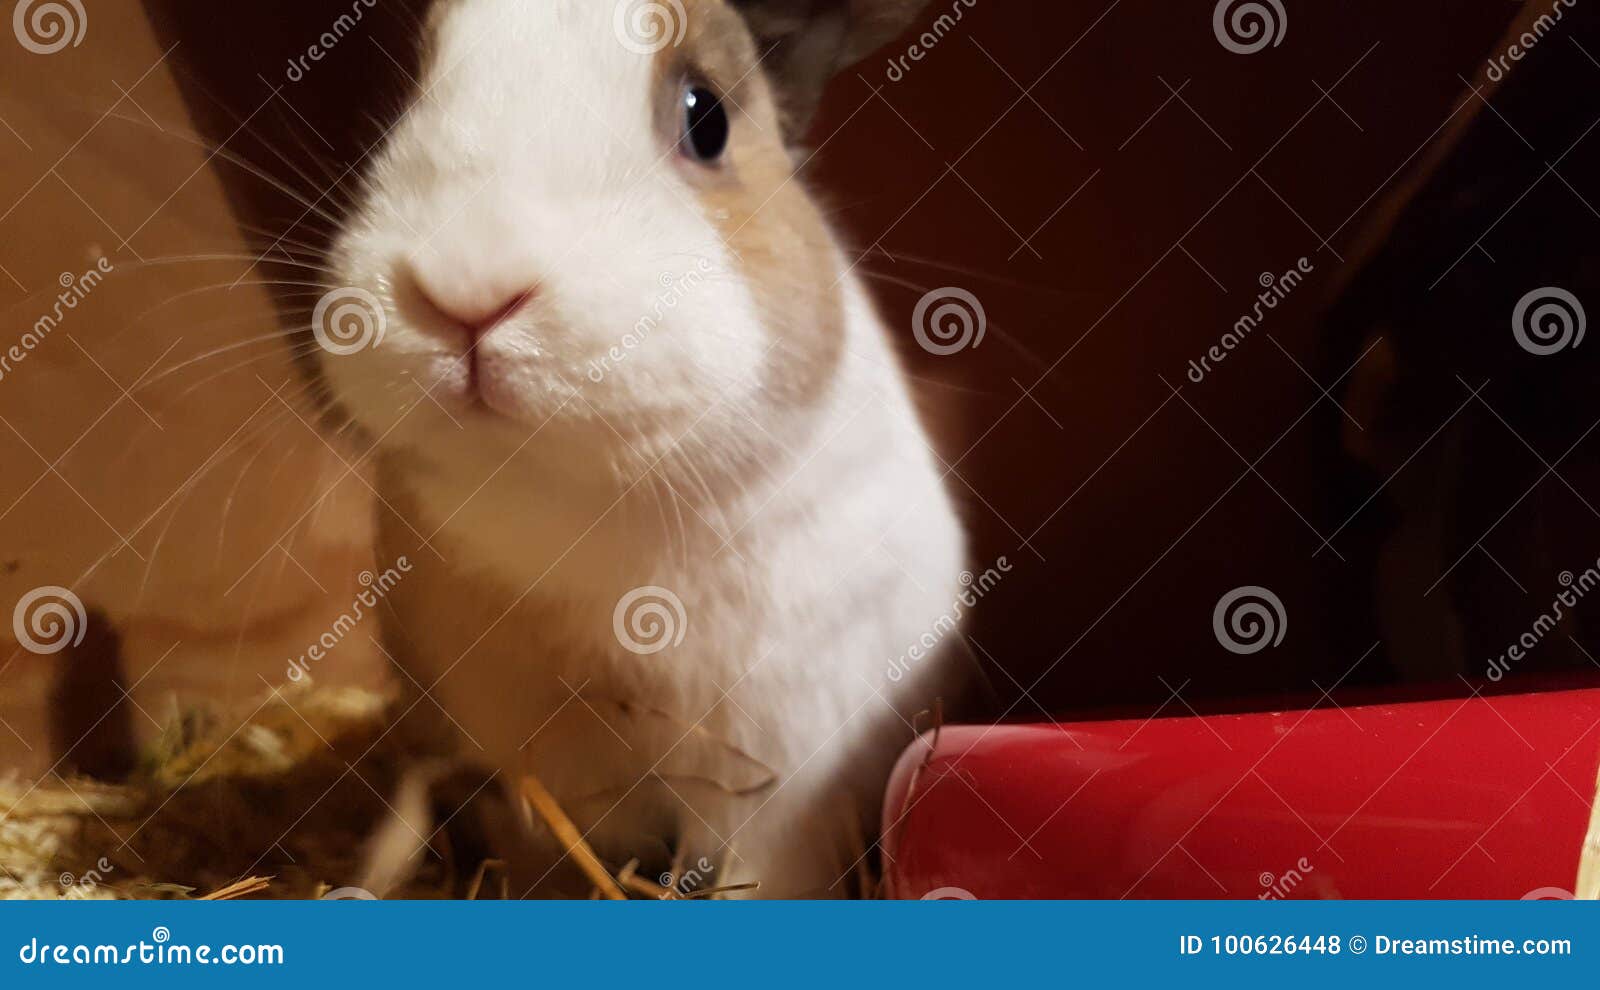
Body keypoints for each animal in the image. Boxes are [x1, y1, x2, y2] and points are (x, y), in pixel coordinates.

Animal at [314, 0, 968, 897]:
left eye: (707, 118)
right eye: (408, 91)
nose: (467, 290)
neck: (577, 506)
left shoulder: (779, 775)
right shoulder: (522, 764)